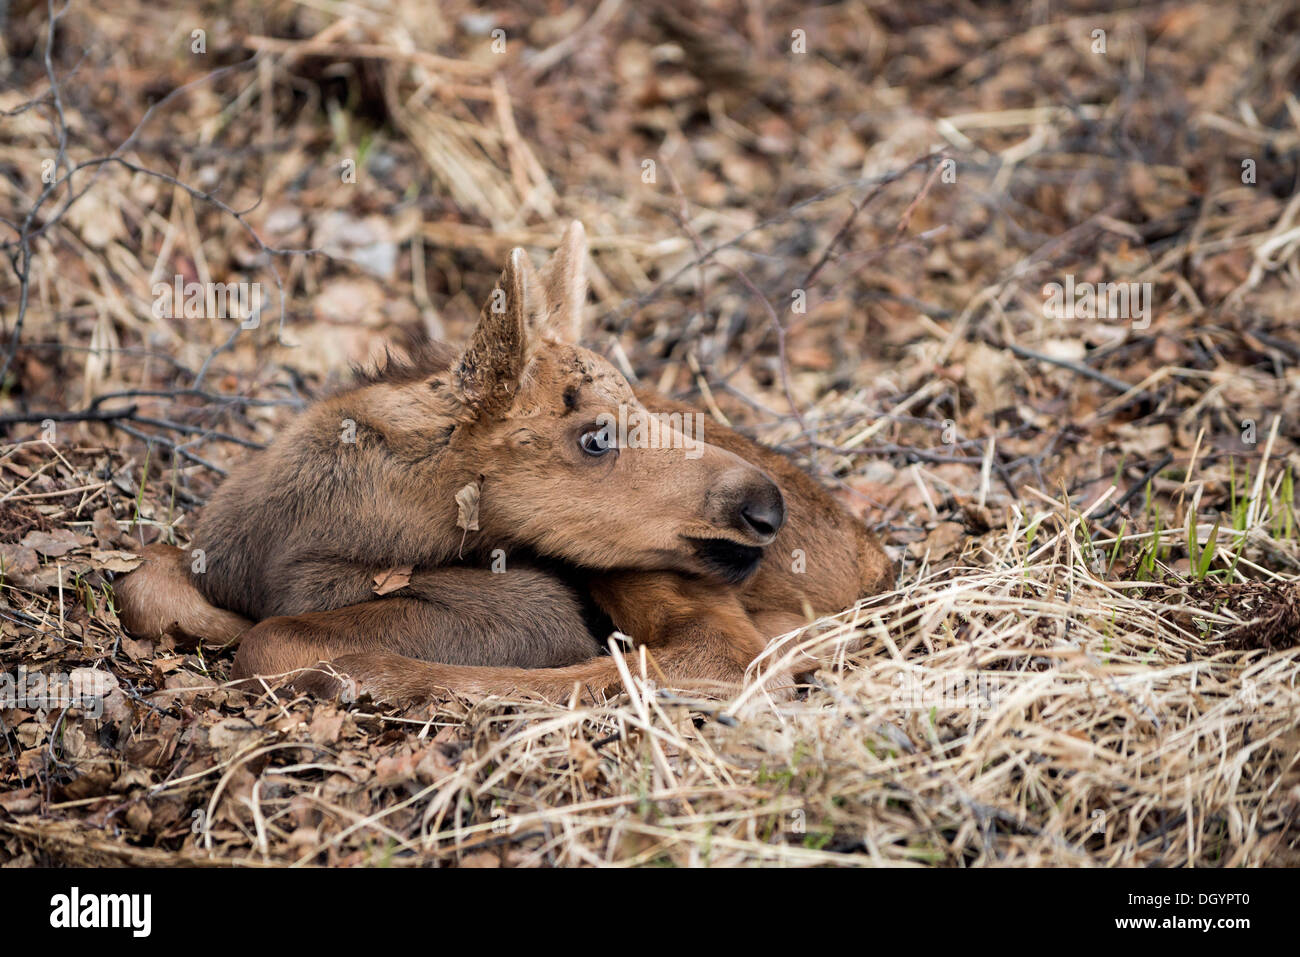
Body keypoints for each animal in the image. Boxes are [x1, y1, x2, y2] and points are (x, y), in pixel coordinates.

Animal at [114, 222, 895, 704]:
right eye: (594, 437)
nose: (762, 505)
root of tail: (874, 561)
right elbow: (144, 581)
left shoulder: (531, 605)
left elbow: (270, 638)